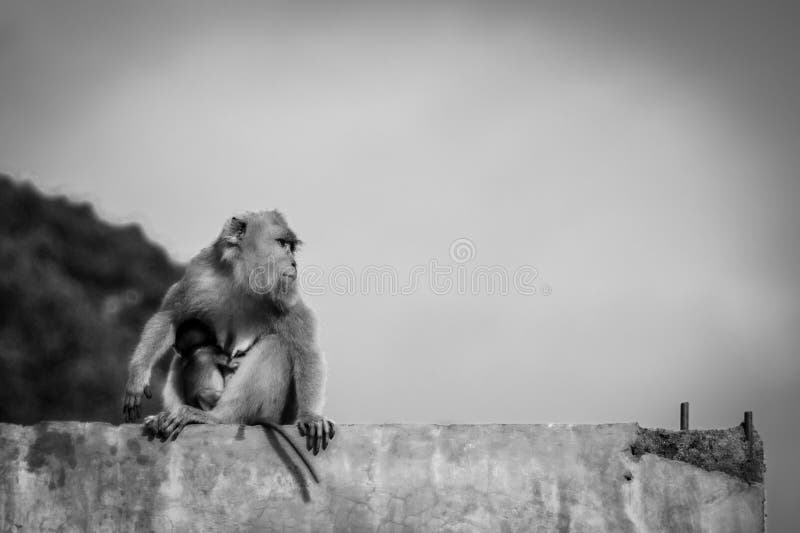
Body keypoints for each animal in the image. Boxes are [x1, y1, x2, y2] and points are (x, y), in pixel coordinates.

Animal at [123, 210, 335, 457]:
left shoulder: (286, 298)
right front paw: (137, 376)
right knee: (188, 353)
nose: (294, 263)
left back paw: (218, 418)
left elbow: (306, 351)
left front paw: (311, 416)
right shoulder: (199, 274)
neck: (243, 282)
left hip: (275, 414)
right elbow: (169, 318)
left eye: (290, 246)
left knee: (275, 345)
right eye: (282, 244)